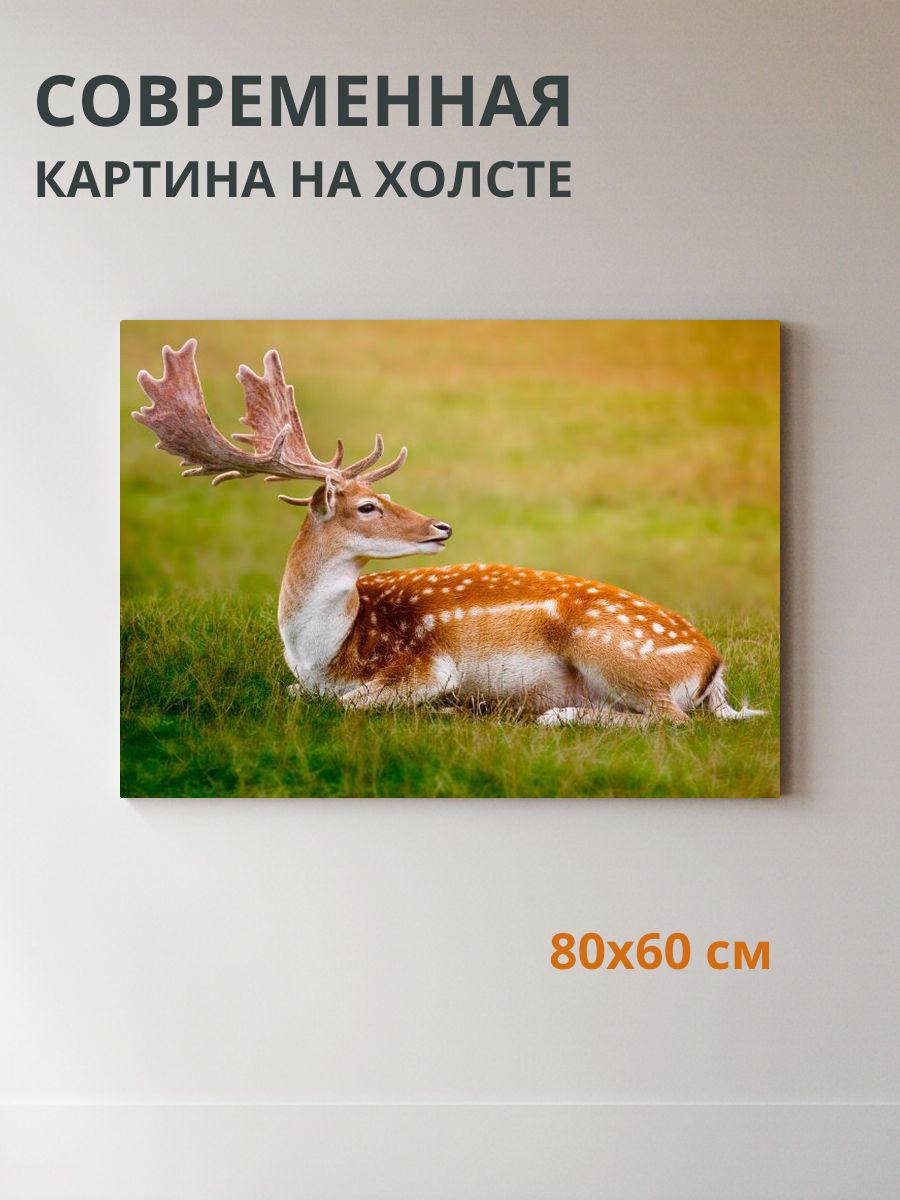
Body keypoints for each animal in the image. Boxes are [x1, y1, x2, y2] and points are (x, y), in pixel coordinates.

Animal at [133, 339, 765, 726]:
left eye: (384, 497)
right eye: (368, 505)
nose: (442, 526)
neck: (320, 655)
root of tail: (713, 667)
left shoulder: (425, 665)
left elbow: (353, 704)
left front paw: (444, 710)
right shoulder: (303, 683)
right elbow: (298, 696)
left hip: (612, 651)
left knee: (671, 720)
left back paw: (549, 713)